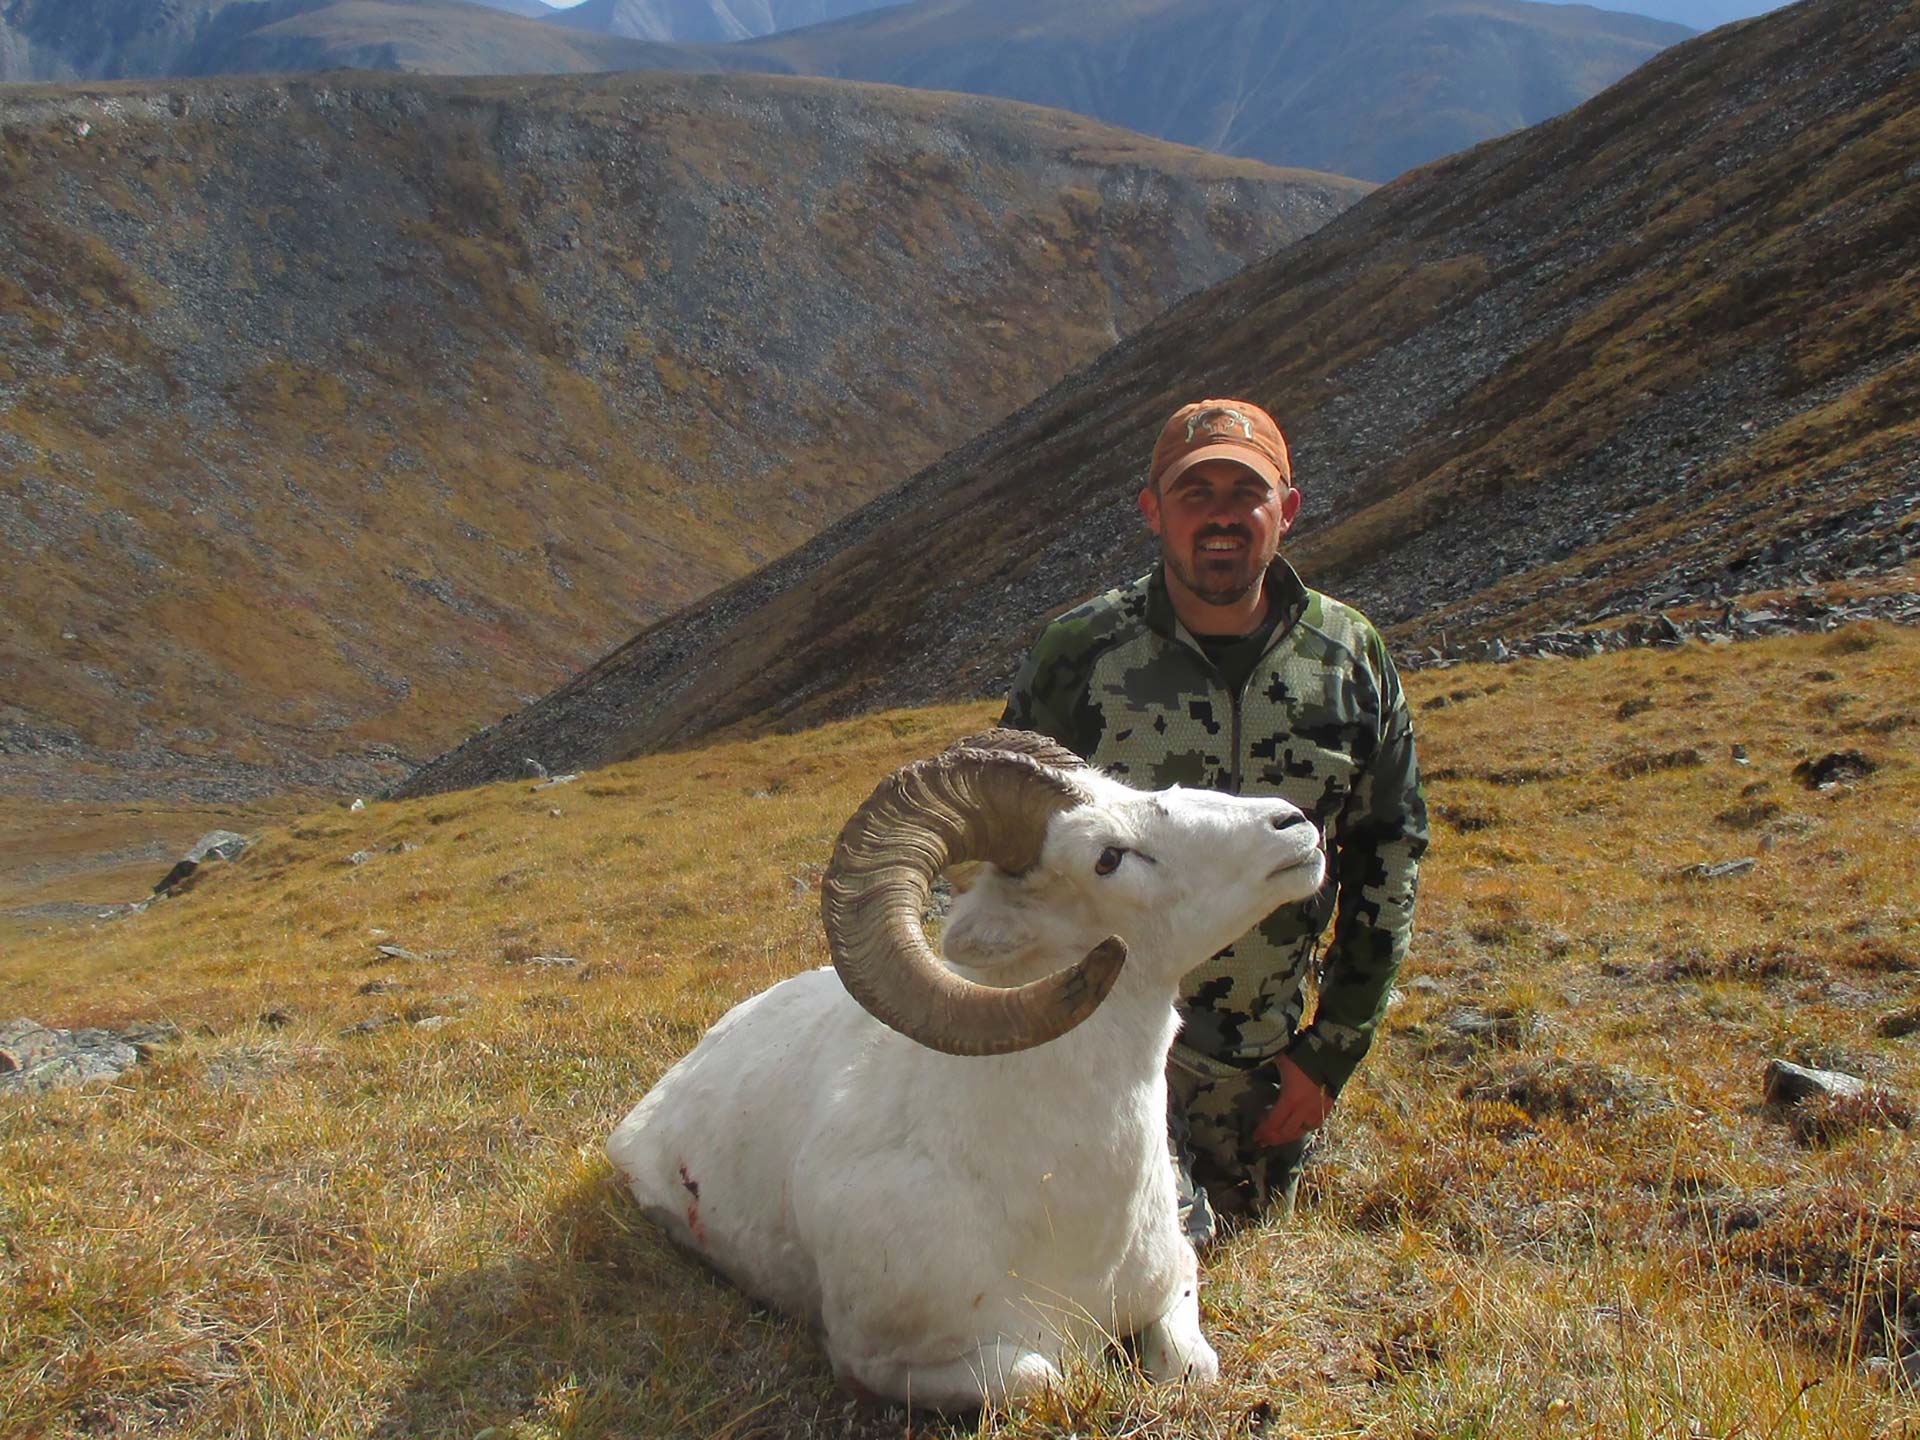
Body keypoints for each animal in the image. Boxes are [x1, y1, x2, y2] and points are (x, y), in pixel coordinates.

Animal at [606, 729, 1326, 1410]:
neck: (1071, 1206)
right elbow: (1044, 1379)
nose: (1293, 822)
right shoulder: (885, 1365)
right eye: (1108, 858)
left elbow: (1189, 1369)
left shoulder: (1174, 1282)